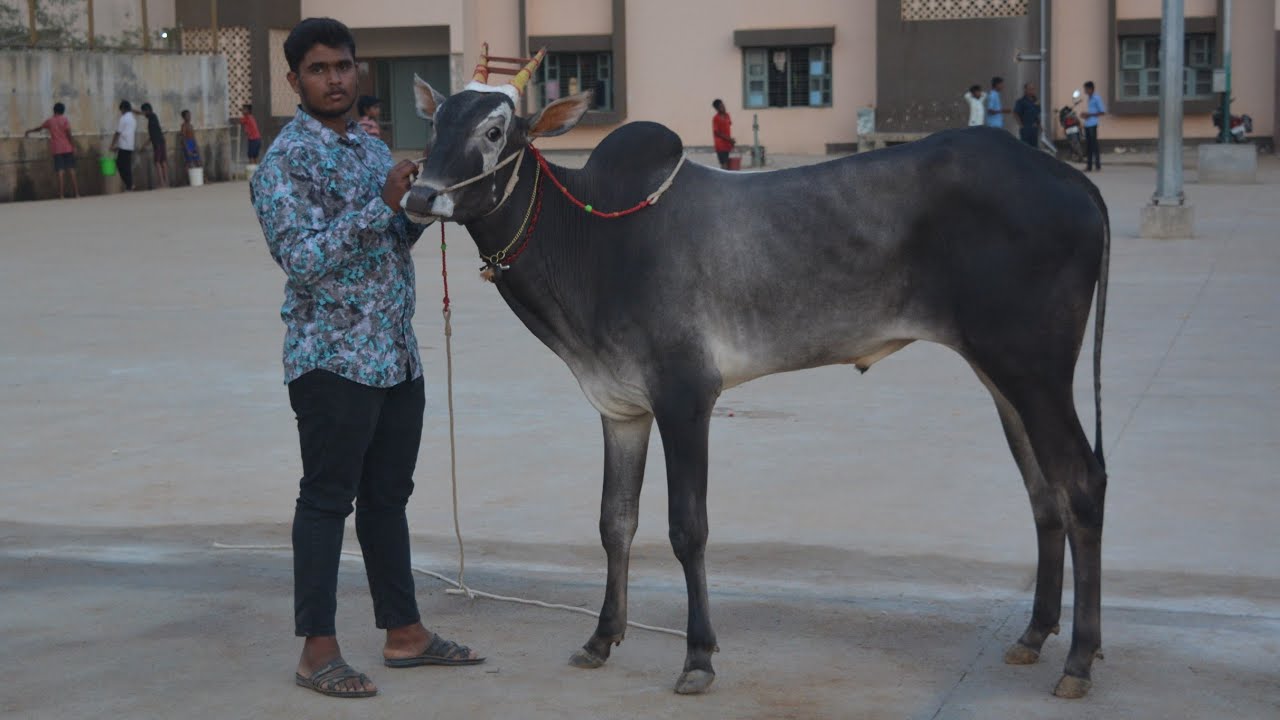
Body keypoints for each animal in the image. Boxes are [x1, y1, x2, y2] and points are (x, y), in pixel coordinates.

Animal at [402, 50, 1110, 699]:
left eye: (496, 130)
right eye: (435, 122)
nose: (418, 194)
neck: (590, 236)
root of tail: (1072, 182)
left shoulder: (686, 396)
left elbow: (687, 528)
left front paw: (698, 657)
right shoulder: (621, 408)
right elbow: (614, 522)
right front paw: (602, 638)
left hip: (1036, 369)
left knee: (1081, 483)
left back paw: (1079, 659)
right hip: (1003, 375)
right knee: (1043, 492)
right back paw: (1035, 634)